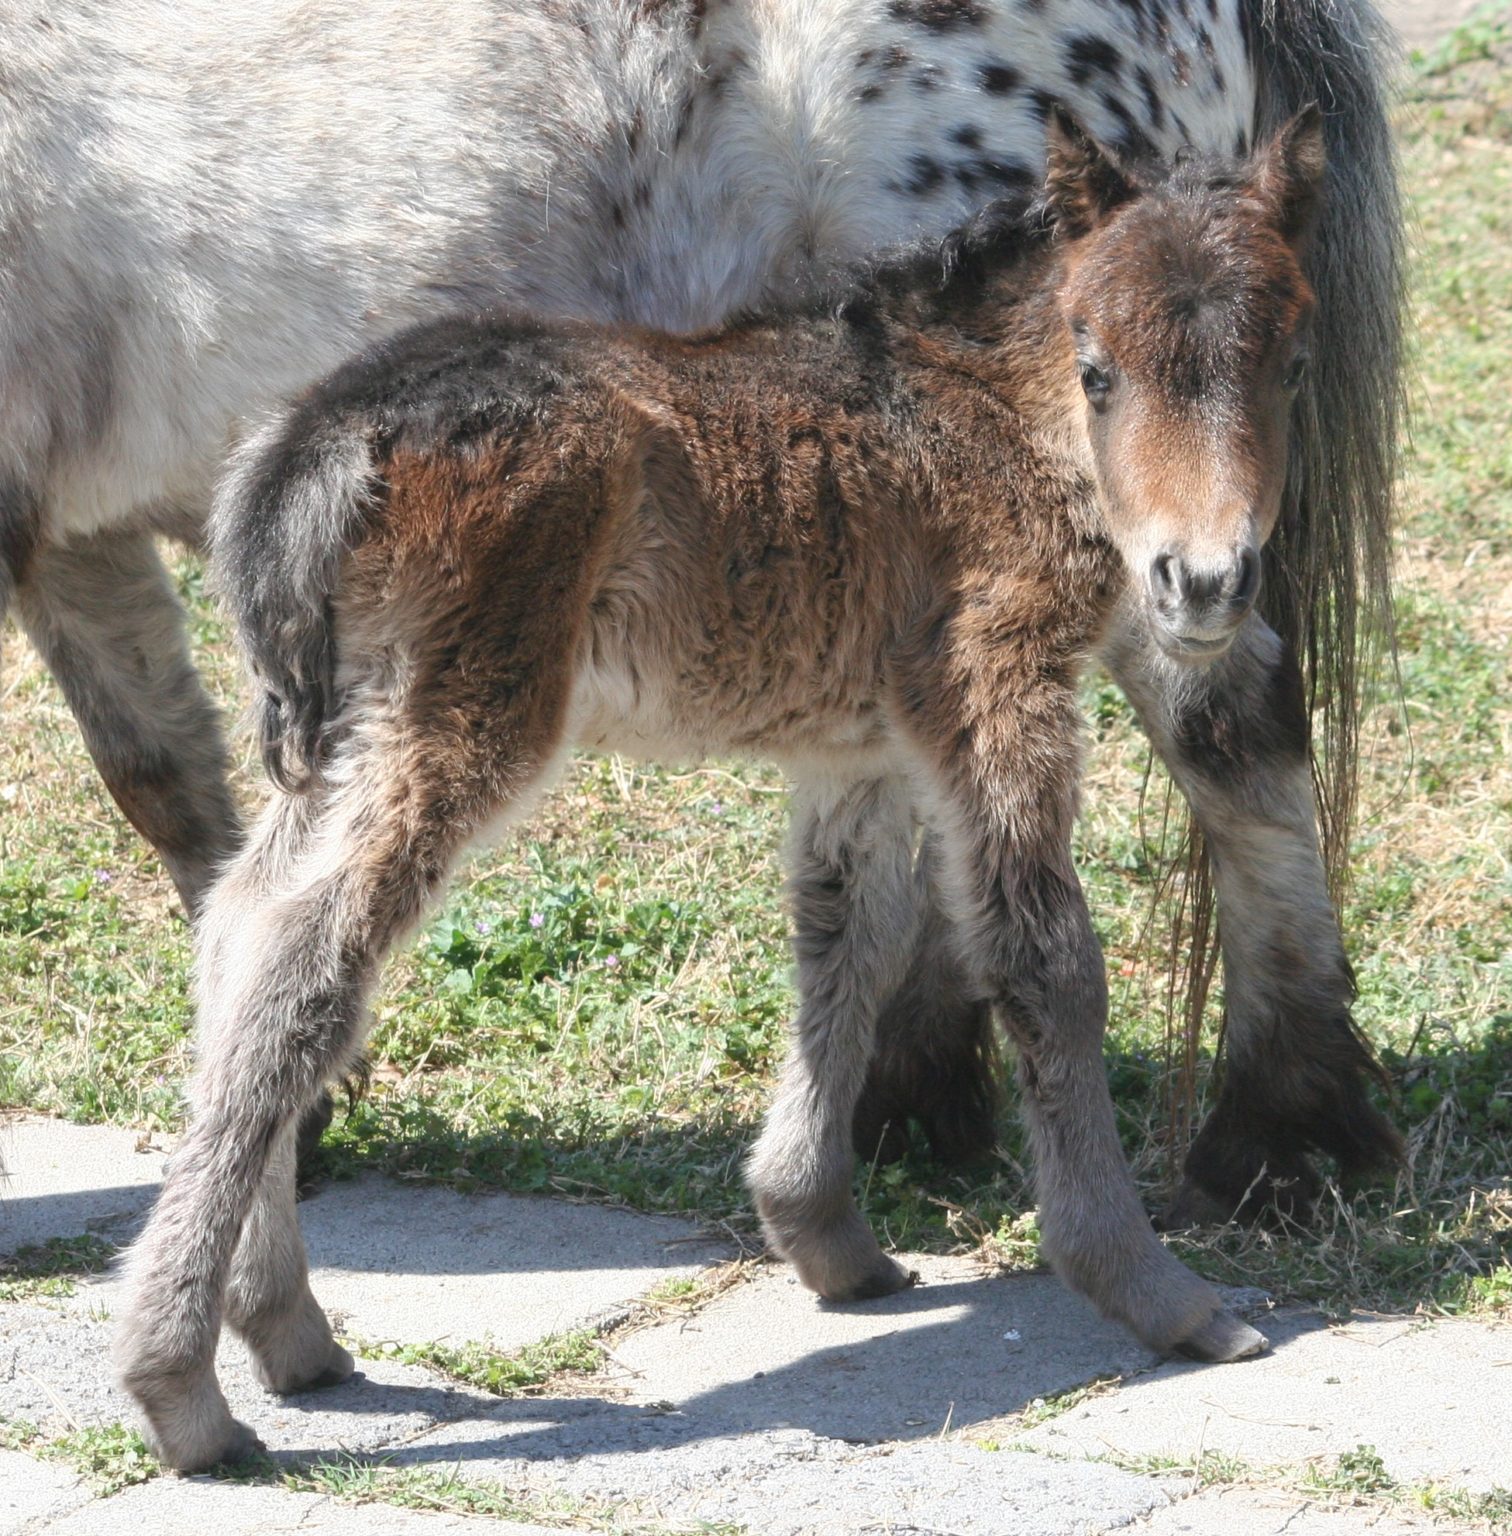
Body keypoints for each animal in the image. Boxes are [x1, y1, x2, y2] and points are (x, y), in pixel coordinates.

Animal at [0, 0, 1401, 1220]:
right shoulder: (73, 541)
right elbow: (175, 792)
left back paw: (1281, 1129)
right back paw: (912, 1101)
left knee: (1230, 731)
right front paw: (292, 1108)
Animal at [117, 109, 1335, 1472]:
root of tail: (314, 437)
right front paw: (1150, 1288)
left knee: (237, 927)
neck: (981, 410)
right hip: (459, 719)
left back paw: (284, 1326)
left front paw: (824, 1235)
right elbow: (1045, 961)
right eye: (1099, 369)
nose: (1204, 581)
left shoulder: (861, 751)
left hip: (350, 731)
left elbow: (849, 941)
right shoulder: (993, 676)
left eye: (1290, 364)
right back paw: (184, 1387)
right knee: (303, 965)